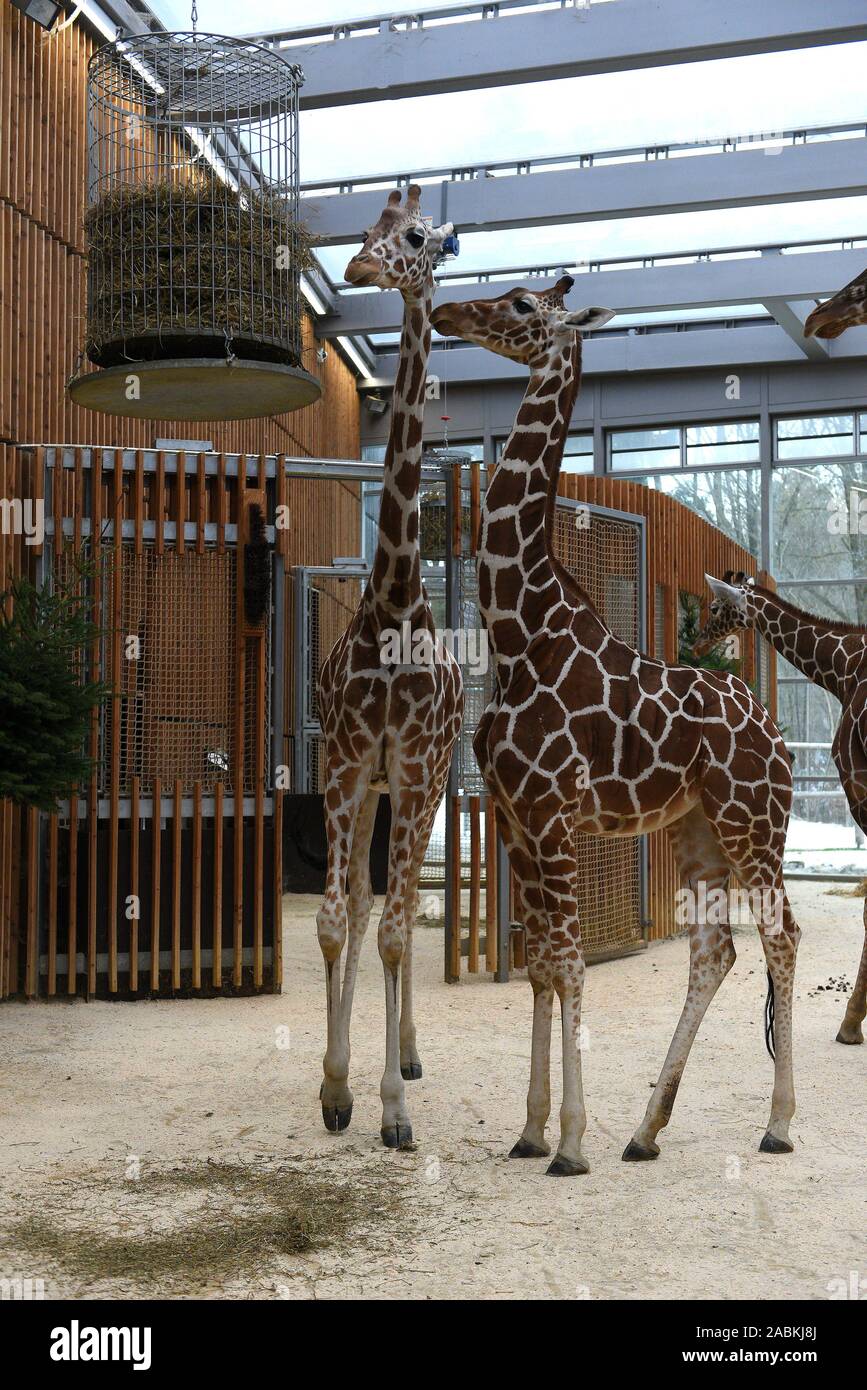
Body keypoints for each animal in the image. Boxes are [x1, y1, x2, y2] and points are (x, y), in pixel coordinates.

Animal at [431, 281, 801, 1174]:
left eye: (521, 303)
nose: (448, 315)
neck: (519, 633)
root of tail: (774, 734)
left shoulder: (552, 815)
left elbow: (568, 963)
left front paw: (568, 1141)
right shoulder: (512, 817)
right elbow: (537, 964)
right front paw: (531, 1130)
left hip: (753, 823)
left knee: (780, 938)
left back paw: (777, 1126)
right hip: (695, 827)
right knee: (714, 952)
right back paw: (644, 1130)